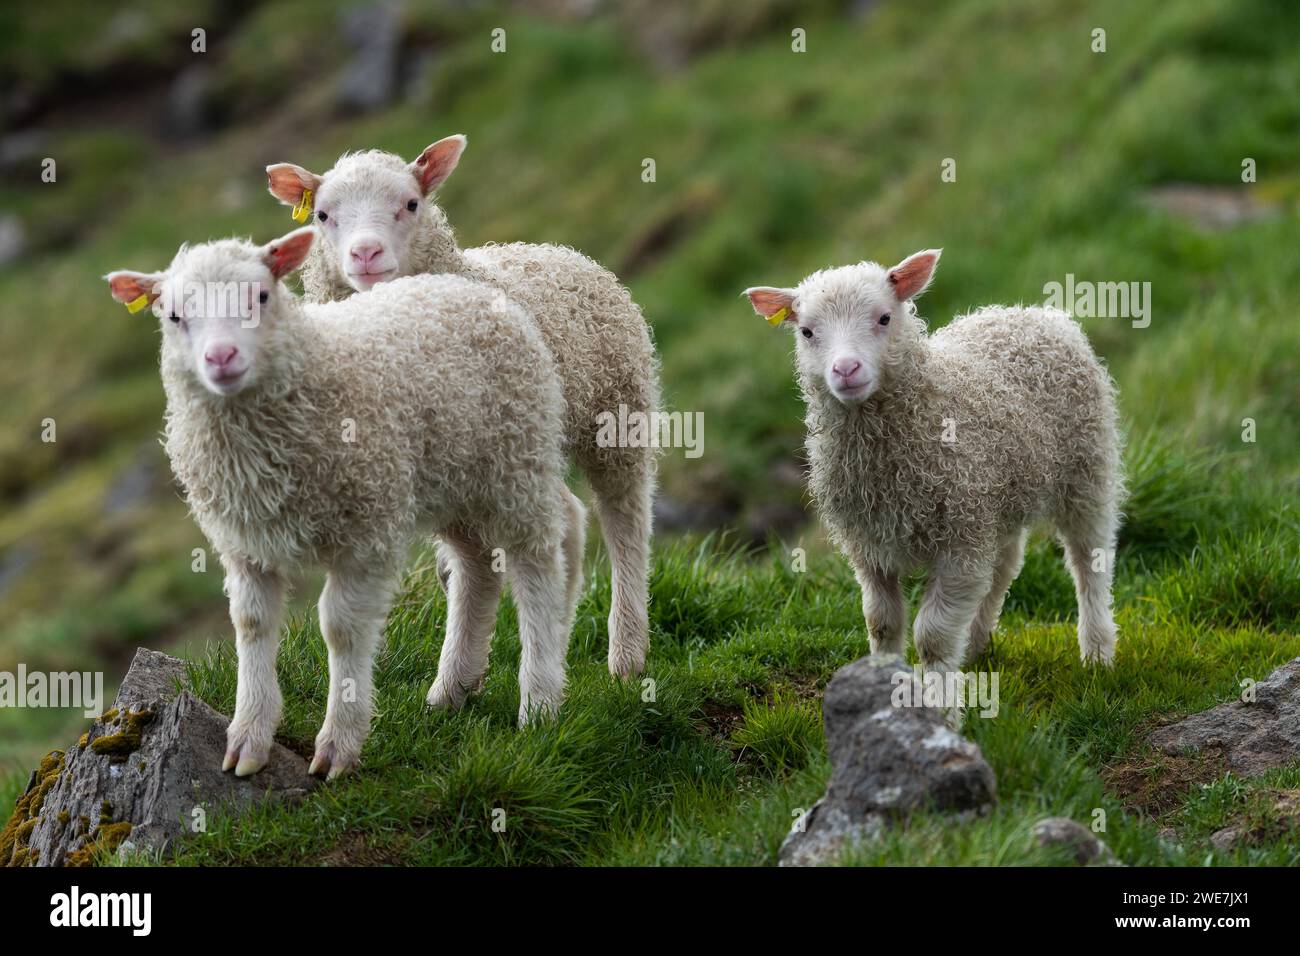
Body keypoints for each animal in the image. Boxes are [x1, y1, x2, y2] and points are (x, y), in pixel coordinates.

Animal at [105, 226, 586, 779]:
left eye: (261, 297)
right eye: (173, 315)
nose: (220, 357)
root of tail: (463, 284)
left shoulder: (366, 532)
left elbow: (342, 629)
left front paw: (339, 744)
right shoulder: (245, 543)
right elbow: (251, 624)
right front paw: (248, 737)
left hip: (514, 460)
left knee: (536, 564)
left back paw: (541, 699)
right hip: (453, 479)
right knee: (478, 569)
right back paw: (452, 688)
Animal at [265, 135, 659, 680]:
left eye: (412, 204)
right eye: (322, 215)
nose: (366, 253)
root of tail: (560, 252)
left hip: (615, 416)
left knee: (626, 522)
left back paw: (626, 650)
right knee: (571, 517)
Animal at [745, 249, 1124, 689]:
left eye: (884, 318)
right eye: (806, 332)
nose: (845, 369)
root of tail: (1032, 313)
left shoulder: (959, 543)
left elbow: (933, 636)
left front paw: (938, 697)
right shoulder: (868, 546)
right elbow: (881, 623)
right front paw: (884, 678)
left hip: (1086, 468)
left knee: (1089, 560)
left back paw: (1097, 651)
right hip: (999, 494)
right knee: (1005, 566)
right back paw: (977, 643)